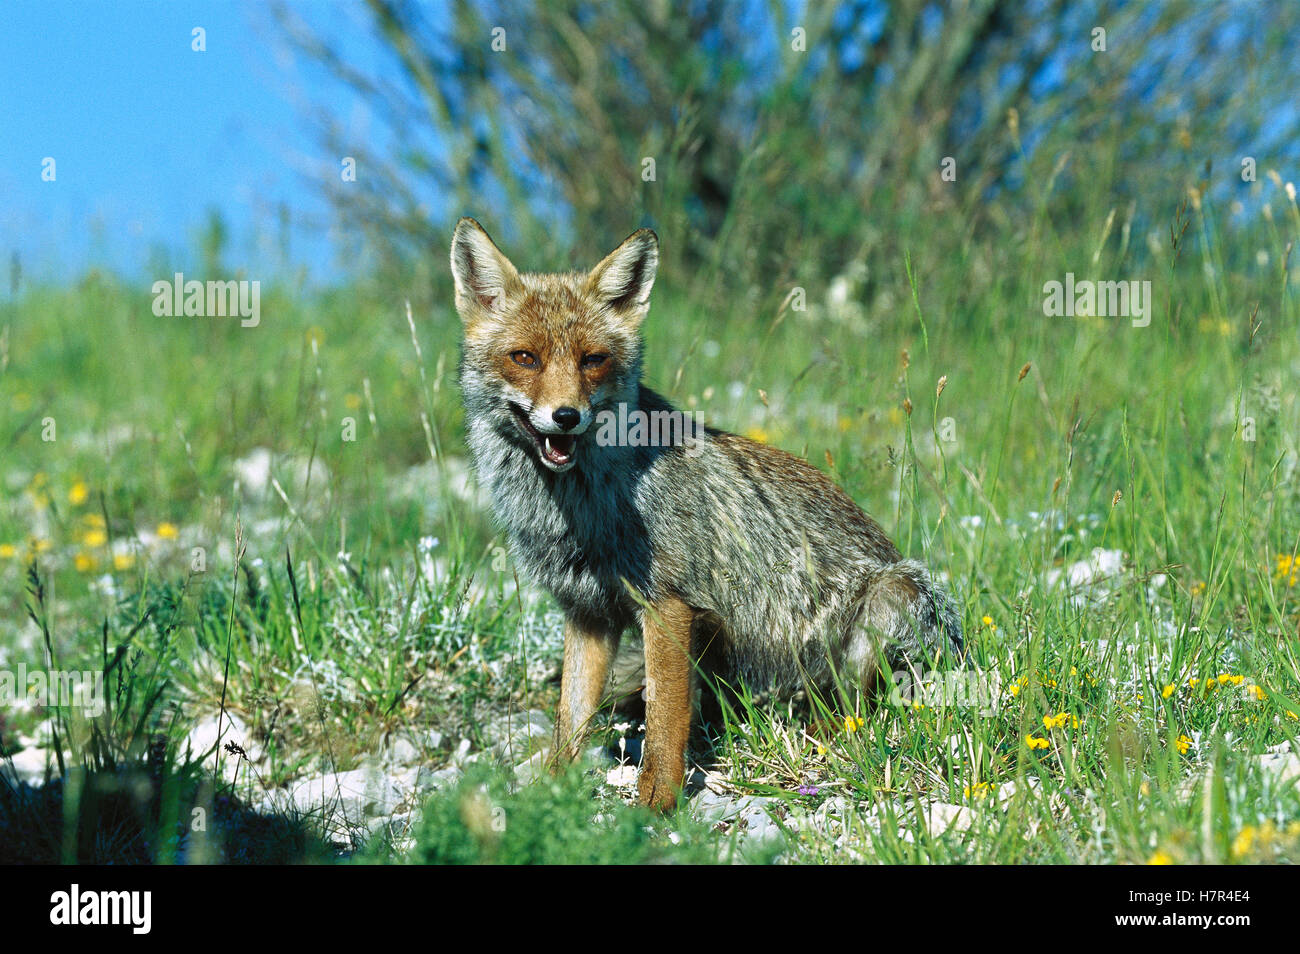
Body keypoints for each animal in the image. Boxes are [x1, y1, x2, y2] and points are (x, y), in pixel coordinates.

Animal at [451, 217, 964, 810]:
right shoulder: (588, 614)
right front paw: (549, 797)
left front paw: (654, 807)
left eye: (592, 360)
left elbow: (665, 725)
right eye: (525, 358)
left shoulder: (668, 606)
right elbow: (570, 720)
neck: (586, 503)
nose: (565, 417)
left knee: (855, 714)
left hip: (888, 601)